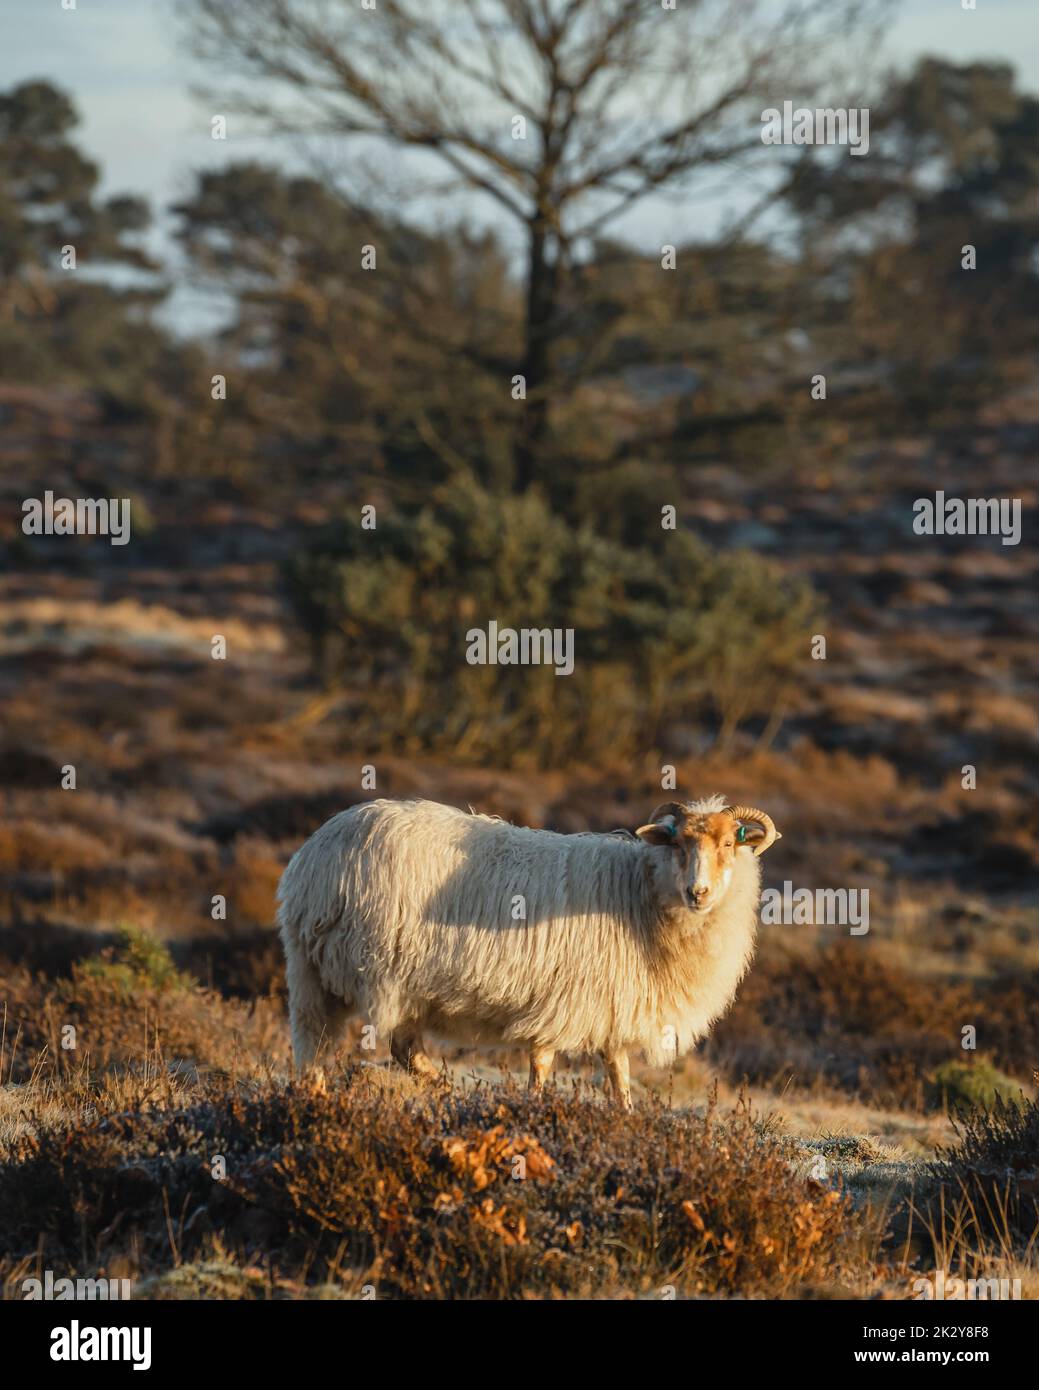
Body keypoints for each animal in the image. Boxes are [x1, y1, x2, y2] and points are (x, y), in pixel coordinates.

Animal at [276, 794, 781, 1106]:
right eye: (678, 842)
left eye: (729, 842)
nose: (699, 892)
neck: (640, 893)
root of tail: (318, 854)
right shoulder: (559, 1003)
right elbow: (542, 1066)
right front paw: (533, 1111)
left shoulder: (612, 1006)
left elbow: (618, 1076)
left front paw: (627, 1120)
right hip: (383, 972)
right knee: (365, 1045)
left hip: (312, 969)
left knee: (321, 1045)